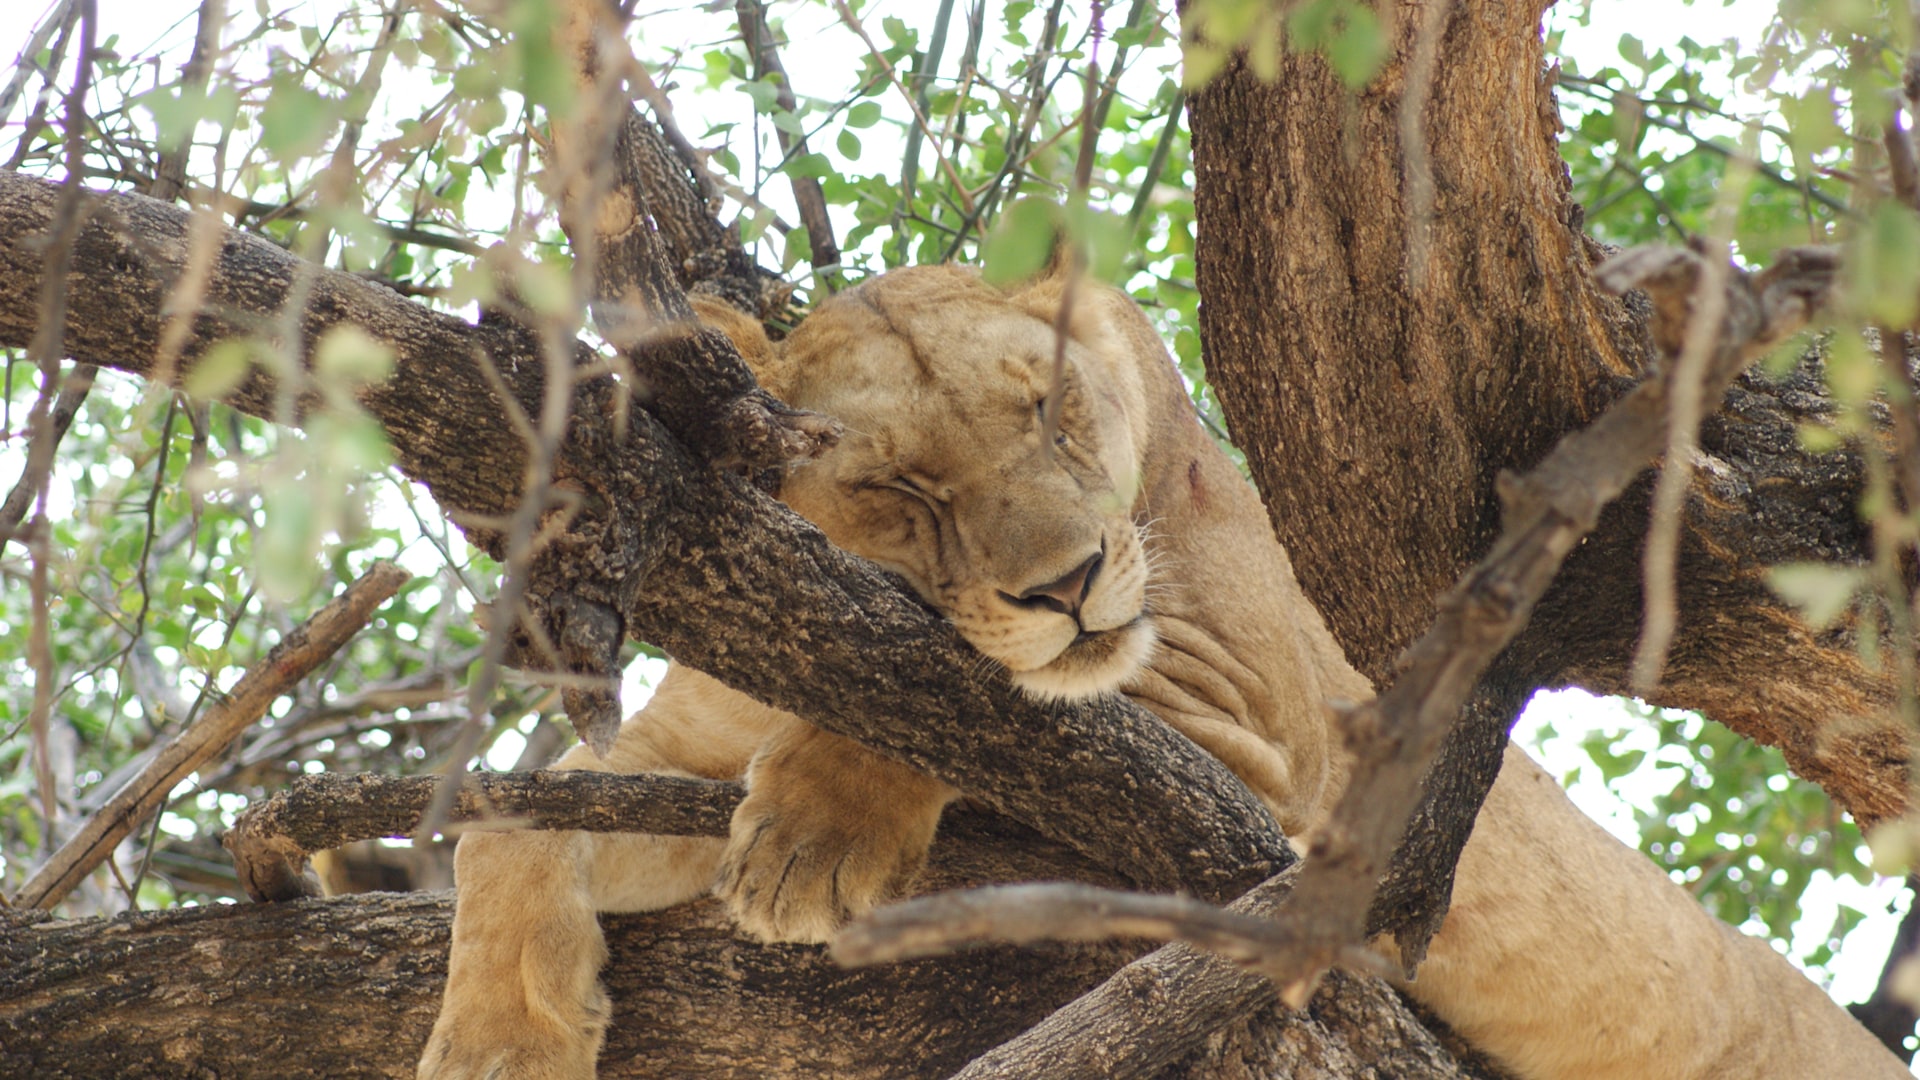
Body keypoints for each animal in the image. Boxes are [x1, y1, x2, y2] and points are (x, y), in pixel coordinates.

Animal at [418, 264, 1905, 1079]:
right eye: (897, 485)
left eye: (1051, 409)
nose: (1066, 582)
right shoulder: (675, 754)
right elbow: (507, 816)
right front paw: (498, 1044)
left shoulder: (1274, 734)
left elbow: (971, 693)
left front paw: (815, 837)